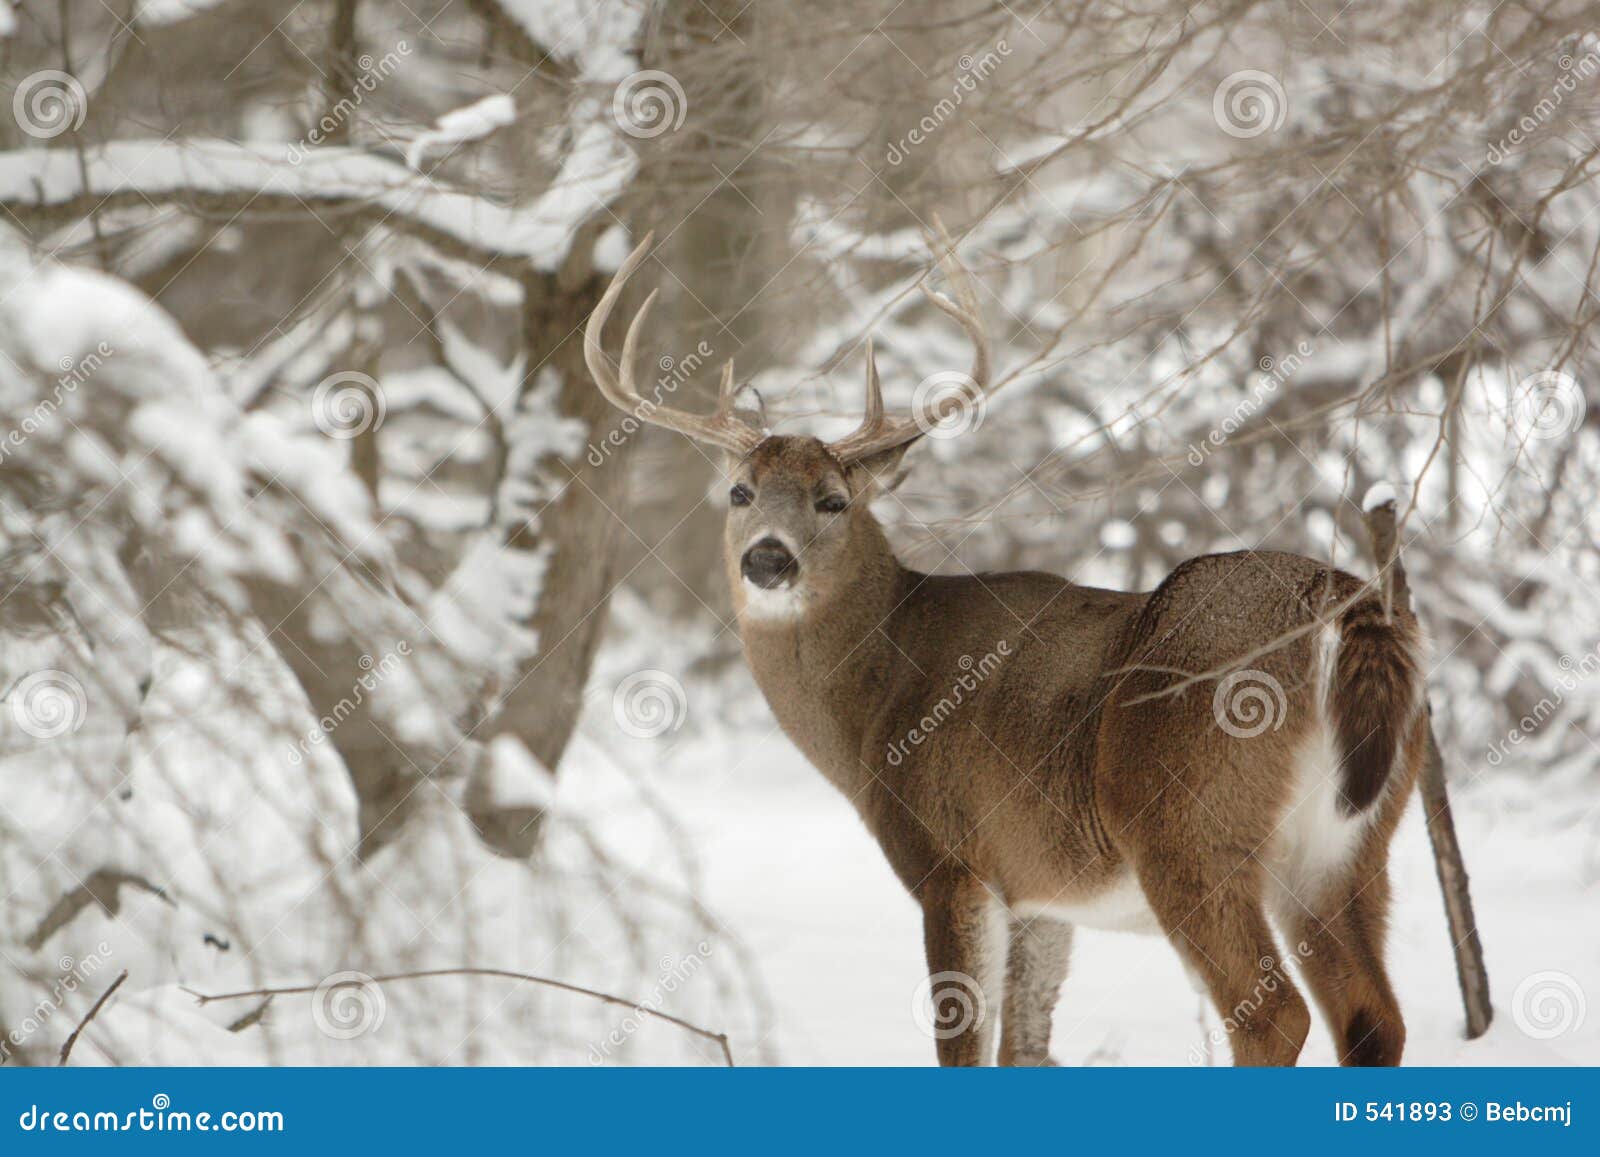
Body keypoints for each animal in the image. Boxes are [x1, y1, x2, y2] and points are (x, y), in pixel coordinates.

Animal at [583, 230, 1430, 1067]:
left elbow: (962, 1043)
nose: (767, 557)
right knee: (1375, 1017)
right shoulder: (1039, 891)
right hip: (1349, 848)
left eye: (834, 499)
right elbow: (1026, 1046)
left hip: (1188, 824)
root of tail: (1340, 601)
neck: (876, 699)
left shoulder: (951, 859)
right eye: (740, 492)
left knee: (1274, 1014)